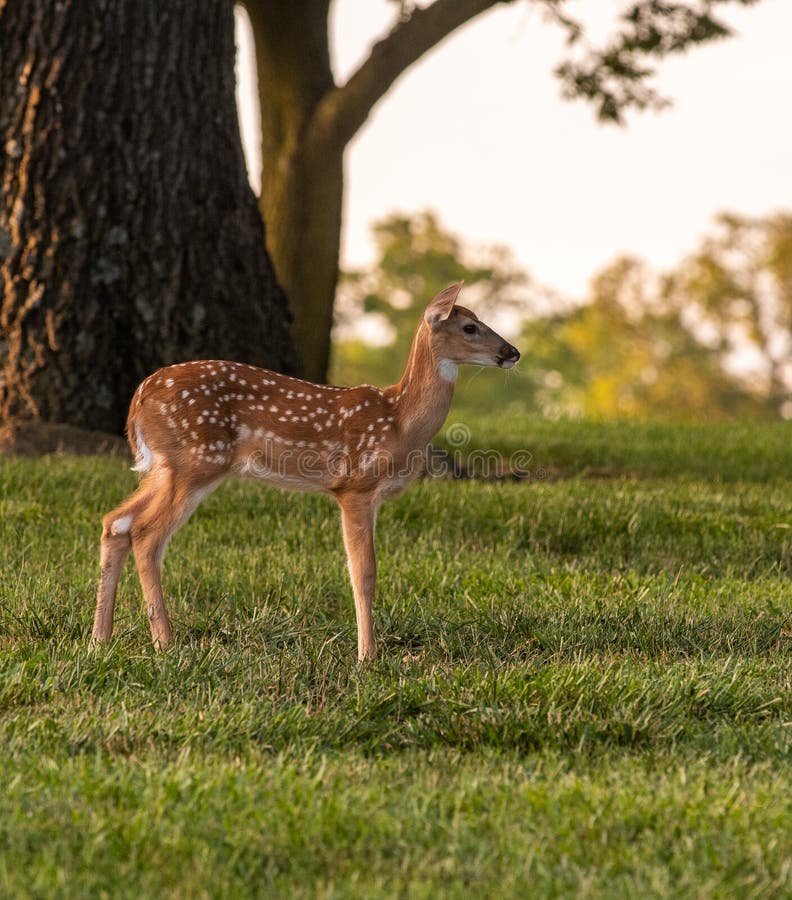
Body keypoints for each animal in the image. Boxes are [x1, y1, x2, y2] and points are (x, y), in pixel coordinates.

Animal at [93, 282, 520, 660]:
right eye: (470, 327)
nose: (512, 352)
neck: (399, 421)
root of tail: (139, 396)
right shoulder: (356, 486)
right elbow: (364, 573)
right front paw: (368, 657)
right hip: (196, 460)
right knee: (146, 534)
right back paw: (165, 643)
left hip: (166, 467)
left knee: (116, 522)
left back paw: (101, 638)